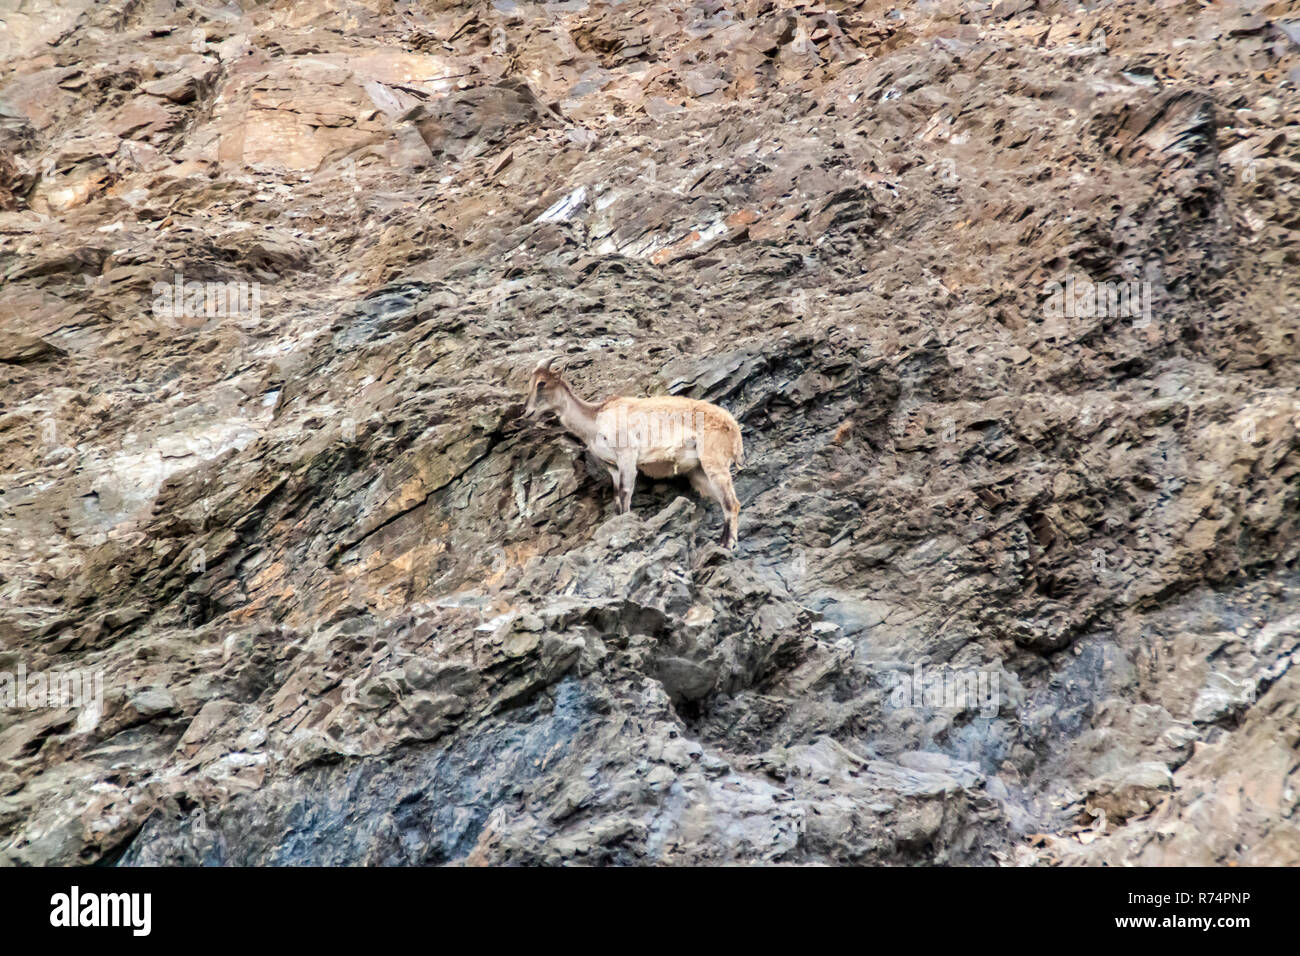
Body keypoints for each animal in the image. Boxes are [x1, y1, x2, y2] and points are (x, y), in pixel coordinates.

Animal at [523, 358, 745, 549]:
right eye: (531, 383)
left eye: (542, 383)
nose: (527, 412)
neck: (595, 420)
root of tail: (733, 427)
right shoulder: (612, 467)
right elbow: (616, 498)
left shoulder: (627, 456)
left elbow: (625, 492)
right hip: (698, 472)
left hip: (714, 461)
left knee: (731, 503)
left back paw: (728, 544)